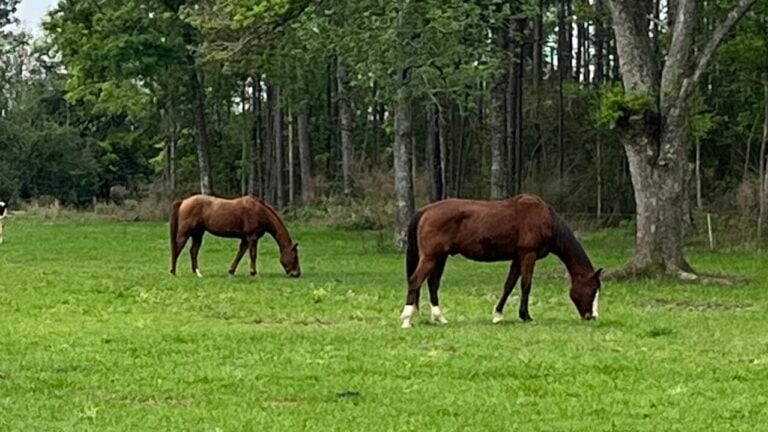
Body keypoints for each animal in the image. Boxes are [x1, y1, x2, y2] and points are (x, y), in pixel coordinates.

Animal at [169, 194, 300, 278]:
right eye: (295, 257)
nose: (297, 274)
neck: (259, 212)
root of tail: (183, 201)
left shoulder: (245, 239)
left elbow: (239, 255)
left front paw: (231, 271)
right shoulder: (252, 237)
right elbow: (253, 255)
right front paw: (254, 273)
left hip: (198, 234)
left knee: (193, 251)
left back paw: (197, 273)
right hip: (184, 234)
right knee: (177, 249)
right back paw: (173, 272)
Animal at [400, 194, 602, 328]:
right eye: (592, 290)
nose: (592, 317)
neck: (545, 219)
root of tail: (426, 210)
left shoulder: (517, 258)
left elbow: (509, 285)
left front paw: (498, 315)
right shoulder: (528, 255)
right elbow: (526, 285)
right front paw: (525, 316)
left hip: (440, 257)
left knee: (433, 284)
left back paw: (439, 318)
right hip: (431, 257)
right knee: (415, 281)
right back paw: (406, 319)